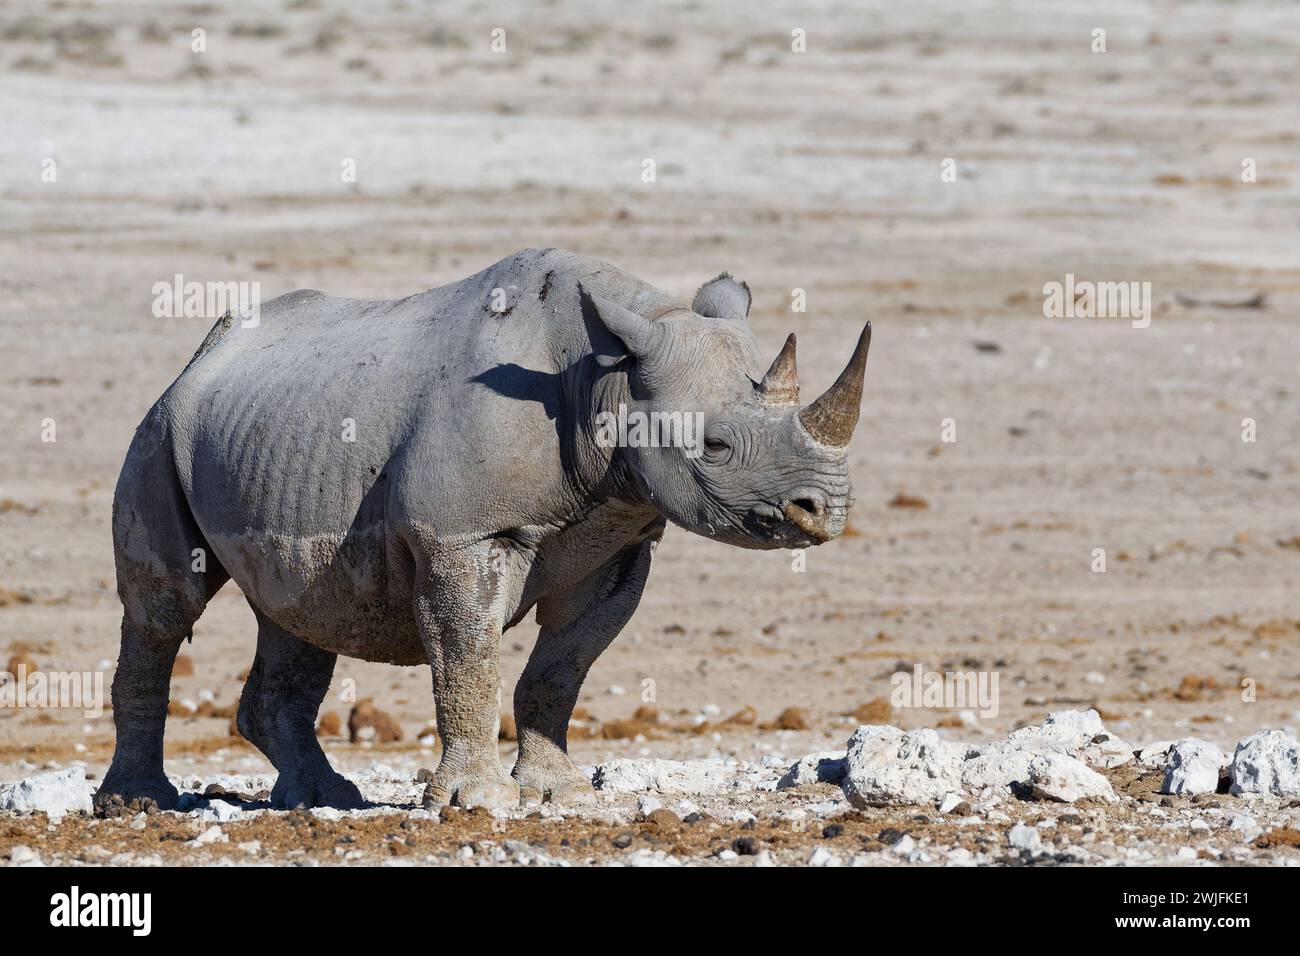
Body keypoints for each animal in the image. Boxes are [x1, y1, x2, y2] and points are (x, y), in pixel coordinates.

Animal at [98, 248, 871, 813]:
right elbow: (468, 657)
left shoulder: (620, 539)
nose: (824, 509)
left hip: (274, 433)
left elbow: (562, 666)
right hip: (162, 426)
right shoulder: (464, 537)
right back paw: (140, 803)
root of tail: (205, 354)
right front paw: (477, 802)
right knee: (167, 608)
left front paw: (558, 792)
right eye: (714, 445)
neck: (610, 378)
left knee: (300, 610)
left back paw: (320, 798)